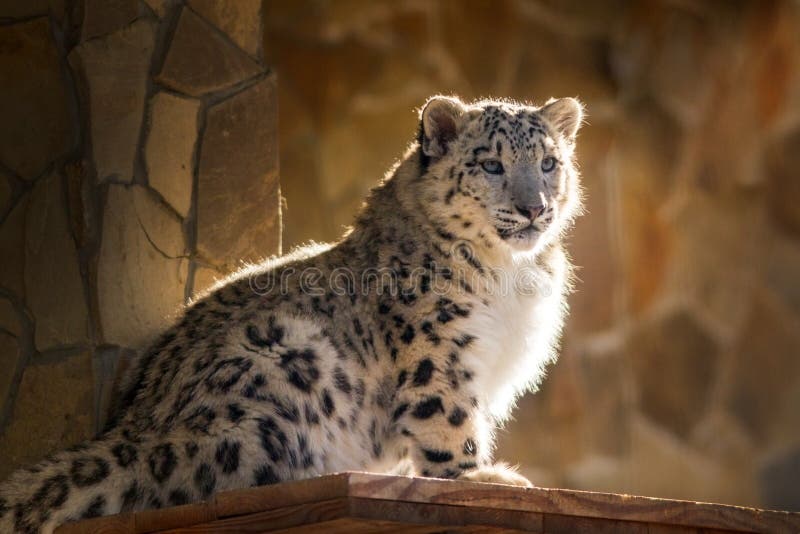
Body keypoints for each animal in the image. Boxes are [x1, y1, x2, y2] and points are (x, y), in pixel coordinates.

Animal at [0, 94, 584, 533]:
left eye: (548, 163)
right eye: (492, 164)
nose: (534, 208)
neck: (511, 275)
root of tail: (131, 432)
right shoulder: (436, 350)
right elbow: (447, 419)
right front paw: (479, 479)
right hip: (285, 364)